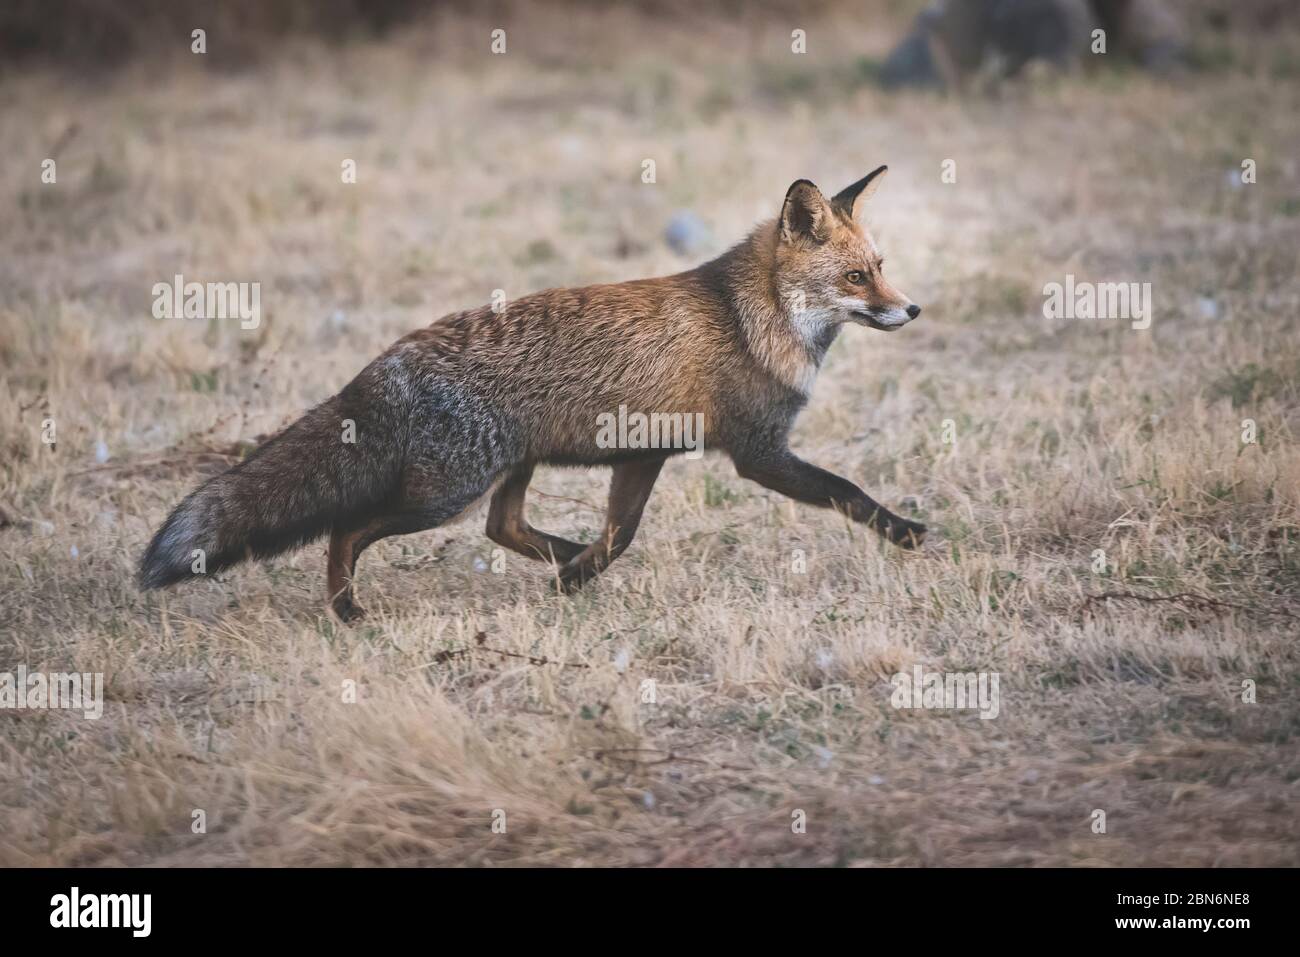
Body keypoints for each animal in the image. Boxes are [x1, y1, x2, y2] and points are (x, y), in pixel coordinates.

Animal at [139, 166, 926, 621]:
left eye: (882, 266)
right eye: (856, 277)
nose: (912, 309)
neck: (748, 319)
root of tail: (383, 363)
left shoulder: (644, 453)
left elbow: (619, 534)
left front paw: (575, 577)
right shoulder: (757, 453)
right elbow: (848, 490)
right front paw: (908, 532)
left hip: (509, 468)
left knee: (503, 527)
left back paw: (562, 558)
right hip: (444, 494)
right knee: (348, 529)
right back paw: (346, 609)